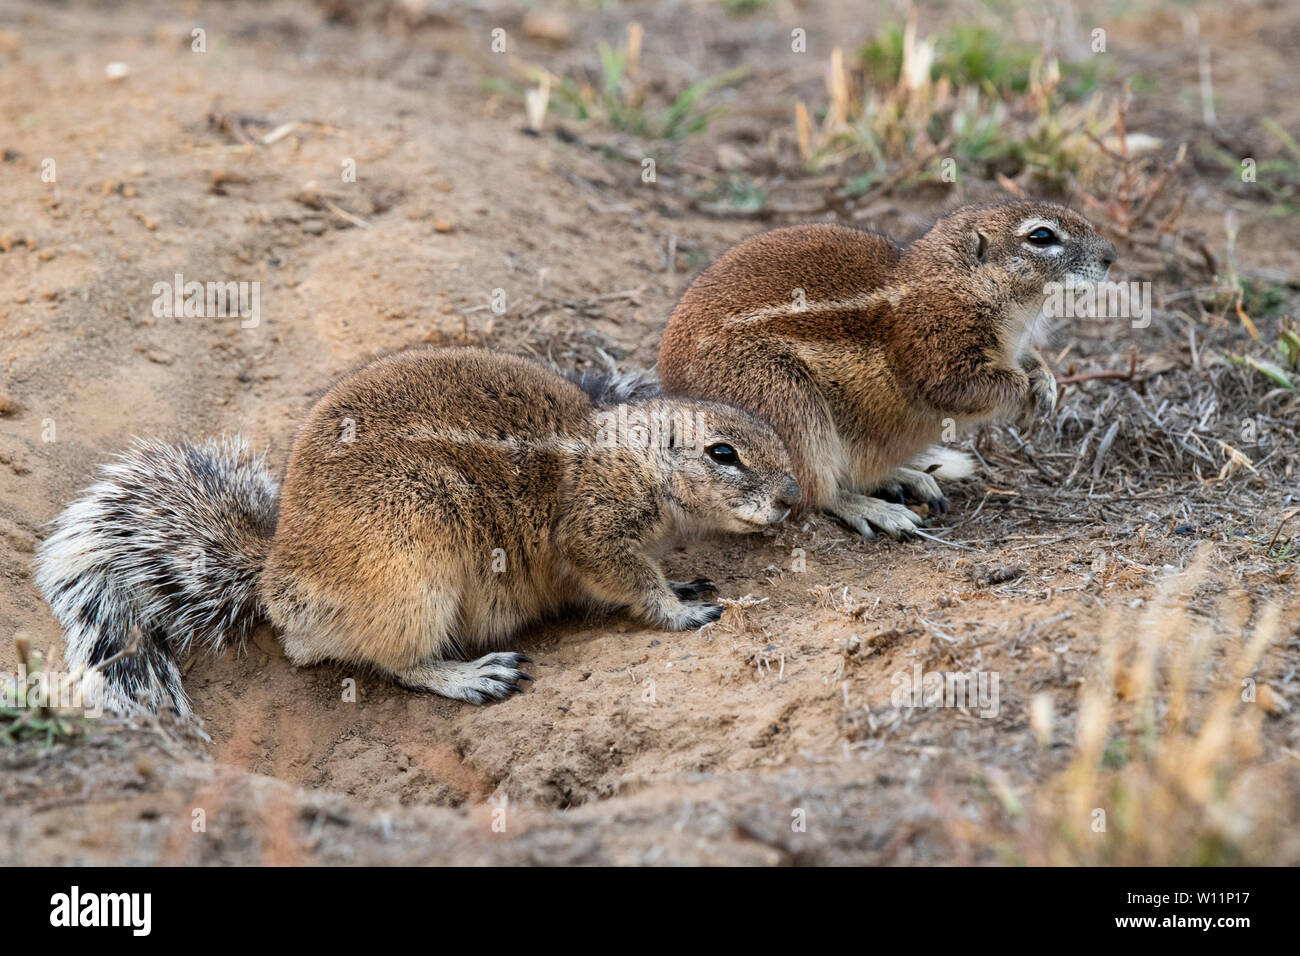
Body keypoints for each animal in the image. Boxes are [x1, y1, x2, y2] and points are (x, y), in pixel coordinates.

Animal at [34, 347, 800, 717]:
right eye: (723, 454)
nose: (794, 498)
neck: (624, 457)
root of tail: (276, 575)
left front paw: (688, 581)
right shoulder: (595, 530)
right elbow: (629, 578)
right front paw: (681, 608)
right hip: (413, 568)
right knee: (390, 660)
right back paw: (473, 676)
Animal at [658, 200, 1117, 539]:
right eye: (1041, 236)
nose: (1112, 256)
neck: (963, 281)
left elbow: (1029, 361)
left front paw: (1047, 383)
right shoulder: (938, 350)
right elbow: (969, 387)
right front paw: (1026, 394)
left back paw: (906, 478)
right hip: (785, 402)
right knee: (811, 494)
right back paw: (875, 510)